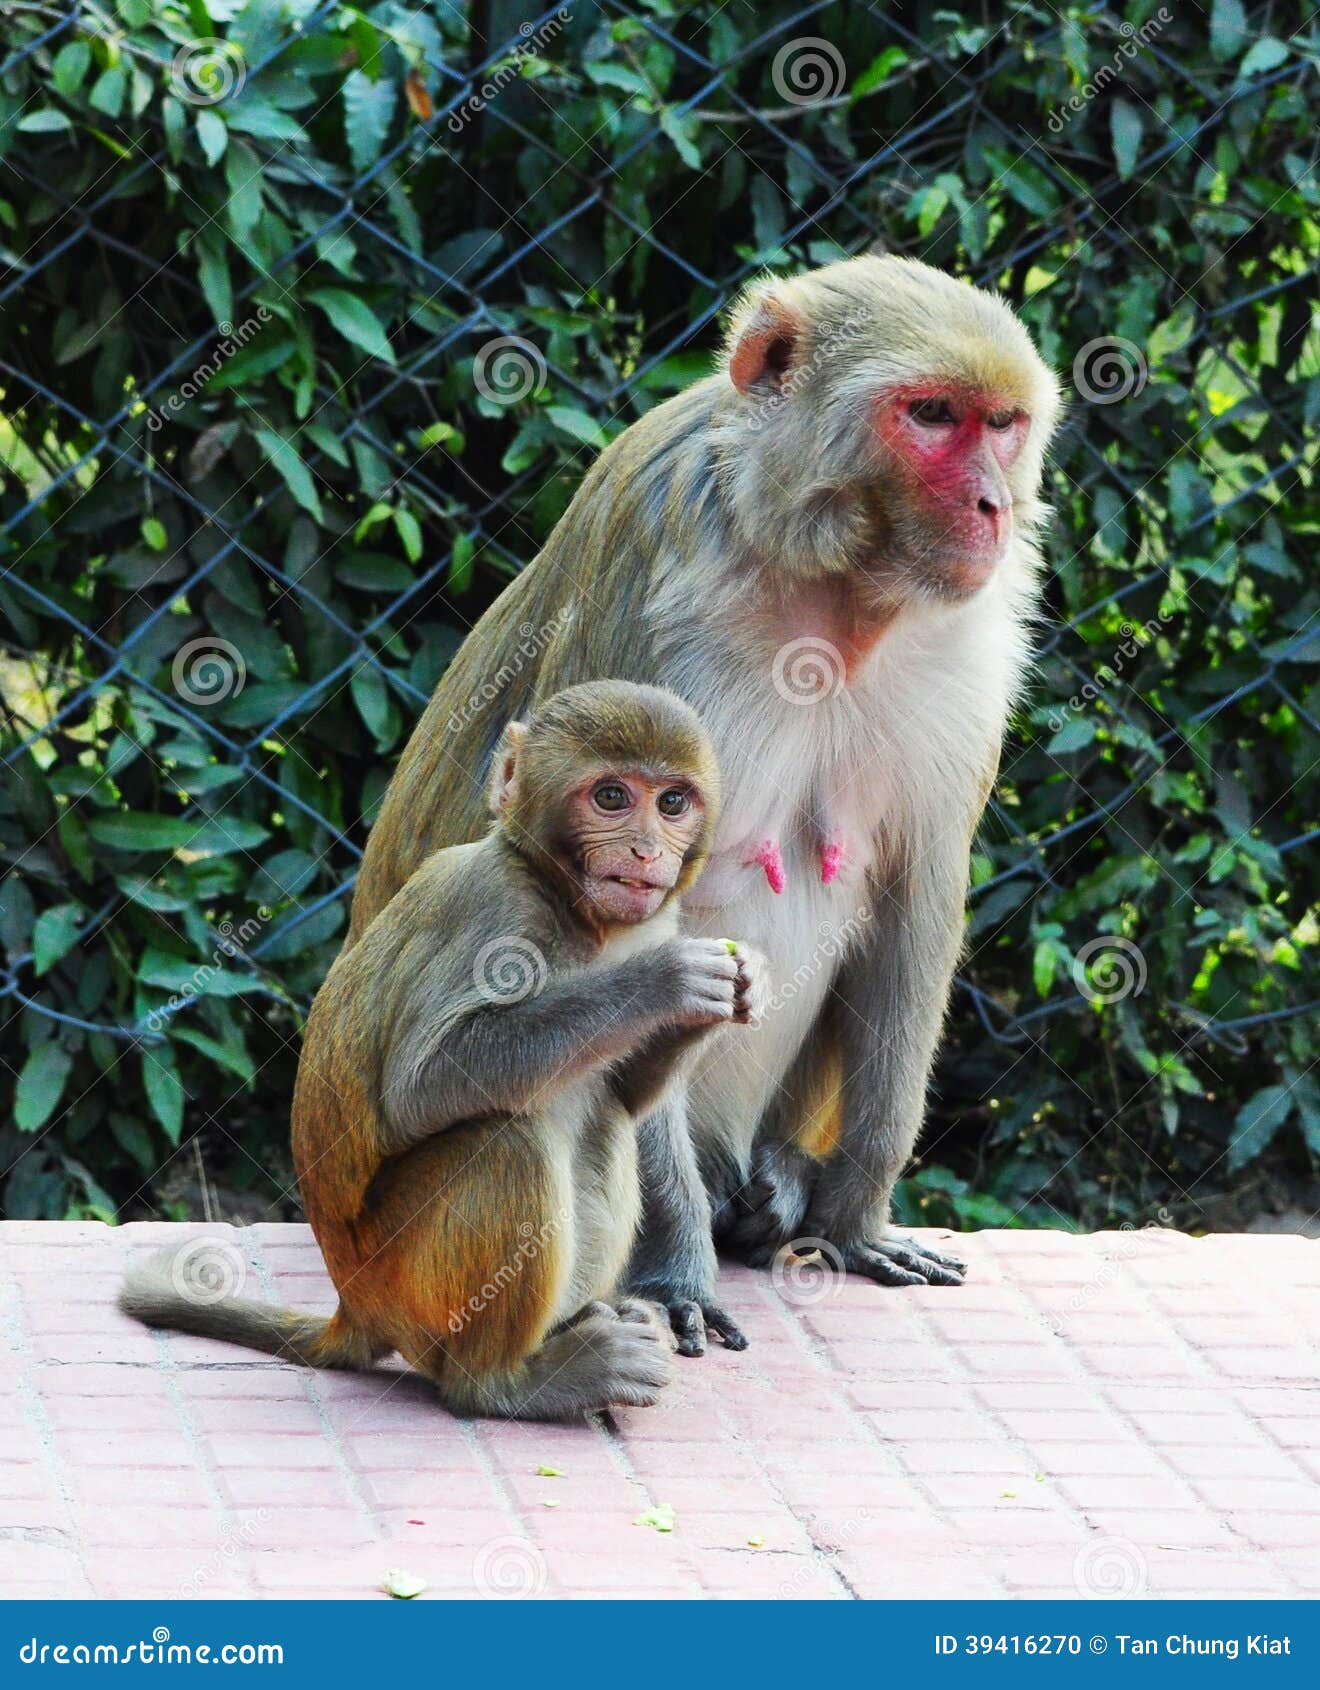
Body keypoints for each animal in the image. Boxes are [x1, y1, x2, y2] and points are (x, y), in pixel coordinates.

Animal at [119, 681, 767, 1419]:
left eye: (672, 803)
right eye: (612, 797)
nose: (644, 851)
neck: (571, 909)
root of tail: (354, 1306)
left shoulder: (654, 913)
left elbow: (628, 1098)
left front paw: (724, 993)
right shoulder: (496, 910)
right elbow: (420, 1086)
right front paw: (664, 981)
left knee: (602, 1121)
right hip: (405, 1284)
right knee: (507, 1140)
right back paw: (509, 1381)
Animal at [345, 254, 1062, 1354]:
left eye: (1005, 423)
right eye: (933, 415)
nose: (990, 504)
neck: (829, 586)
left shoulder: (966, 643)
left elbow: (916, 896)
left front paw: (857, 1221)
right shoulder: (658, 580)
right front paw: (674, 1268)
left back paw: (785, 1187)